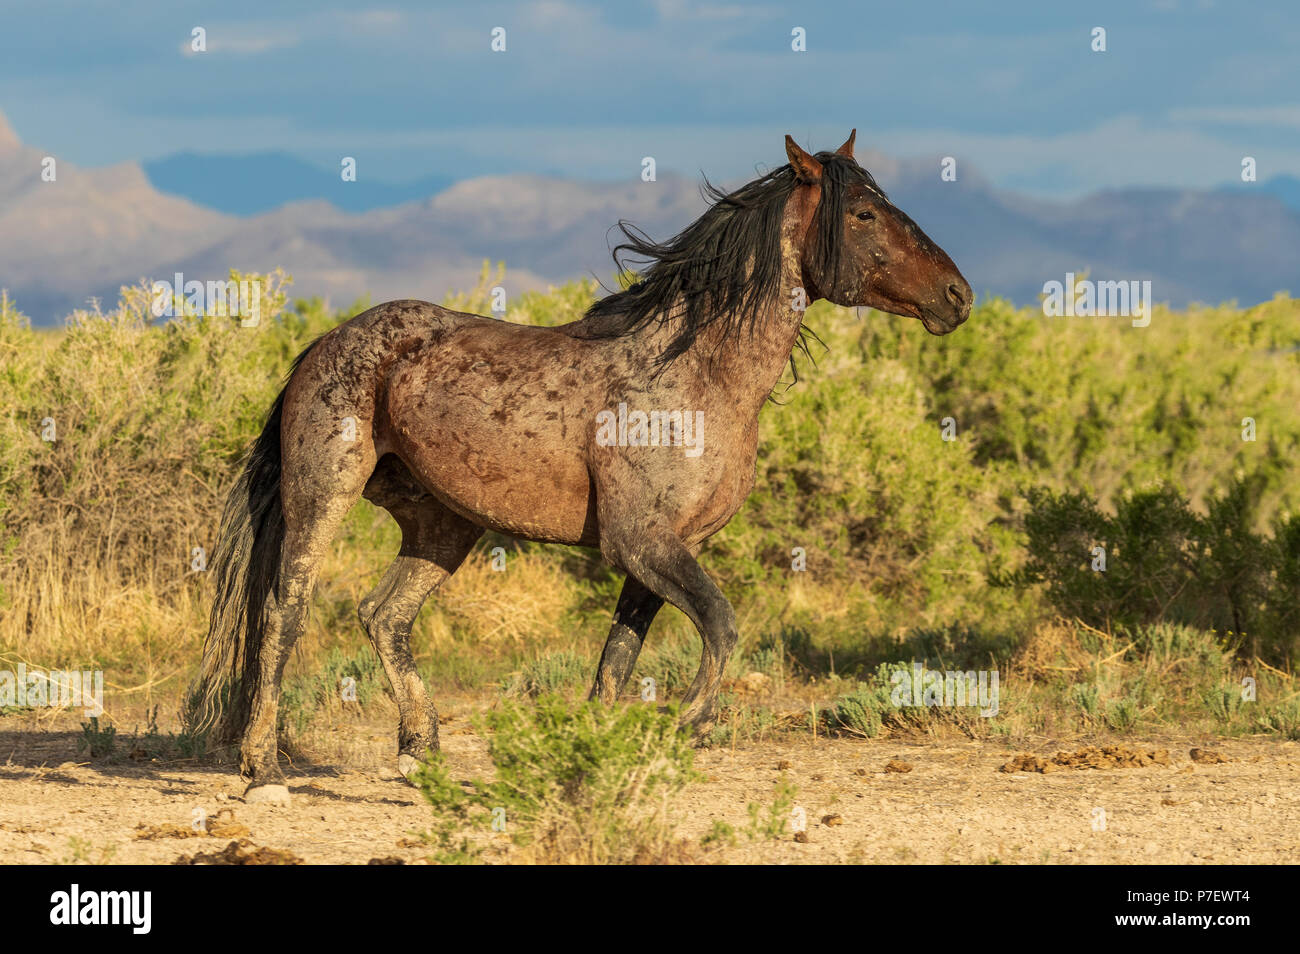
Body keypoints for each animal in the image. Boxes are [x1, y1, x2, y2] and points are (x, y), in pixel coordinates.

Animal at [188, 131, 971, 803]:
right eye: (864, 212)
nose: (957, 297)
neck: (695, 376)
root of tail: (324, 342)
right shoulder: (642, 543)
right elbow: (720, 627)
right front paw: (681, 730)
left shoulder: (659, 553)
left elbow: (616, 661)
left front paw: (598, 763)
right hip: (324, 496)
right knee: (284, 612)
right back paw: (264, 772)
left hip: (442, 525)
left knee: (384, 616)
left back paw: (420, 758)